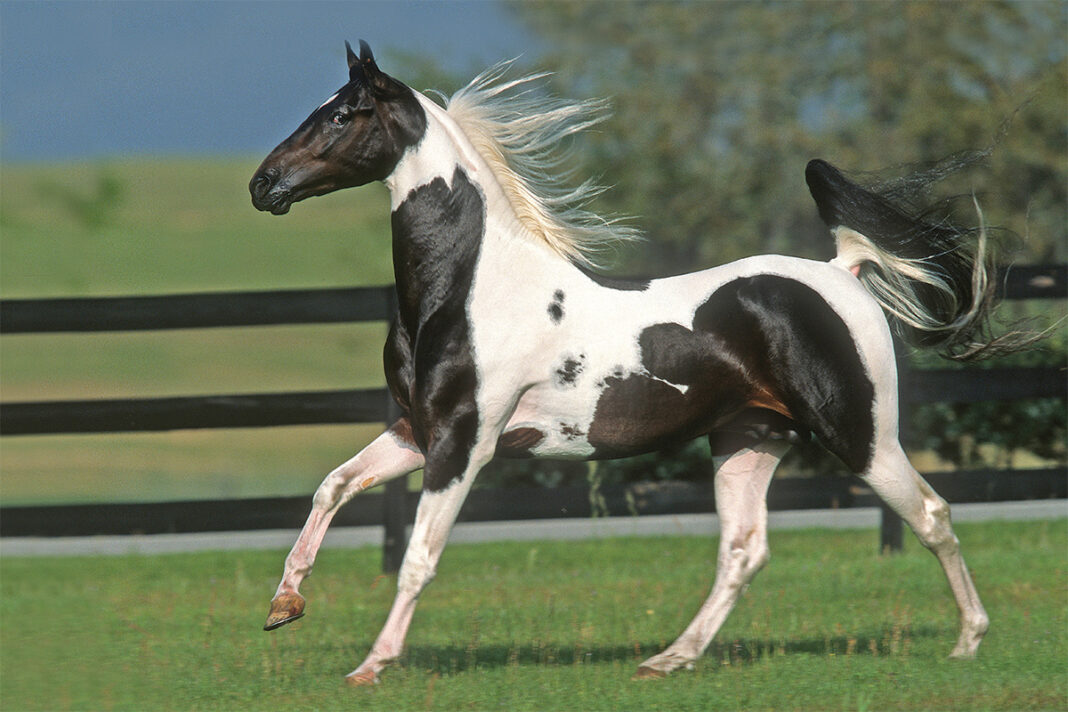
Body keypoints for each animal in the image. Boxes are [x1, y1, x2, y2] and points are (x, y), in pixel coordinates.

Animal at [249, 40, 1011, 684]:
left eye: (342, 114)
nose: (264, 184)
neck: (468, 288)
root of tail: (841, 271)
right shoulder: (415, 431)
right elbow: (332, 487)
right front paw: (284, 605)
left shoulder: (463, 444)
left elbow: (417, 558)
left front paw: (371, 666)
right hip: (749, 438)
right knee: (744, 549)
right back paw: (670, 659)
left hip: (861, 436)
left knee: (932, 515)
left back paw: (969, 641)